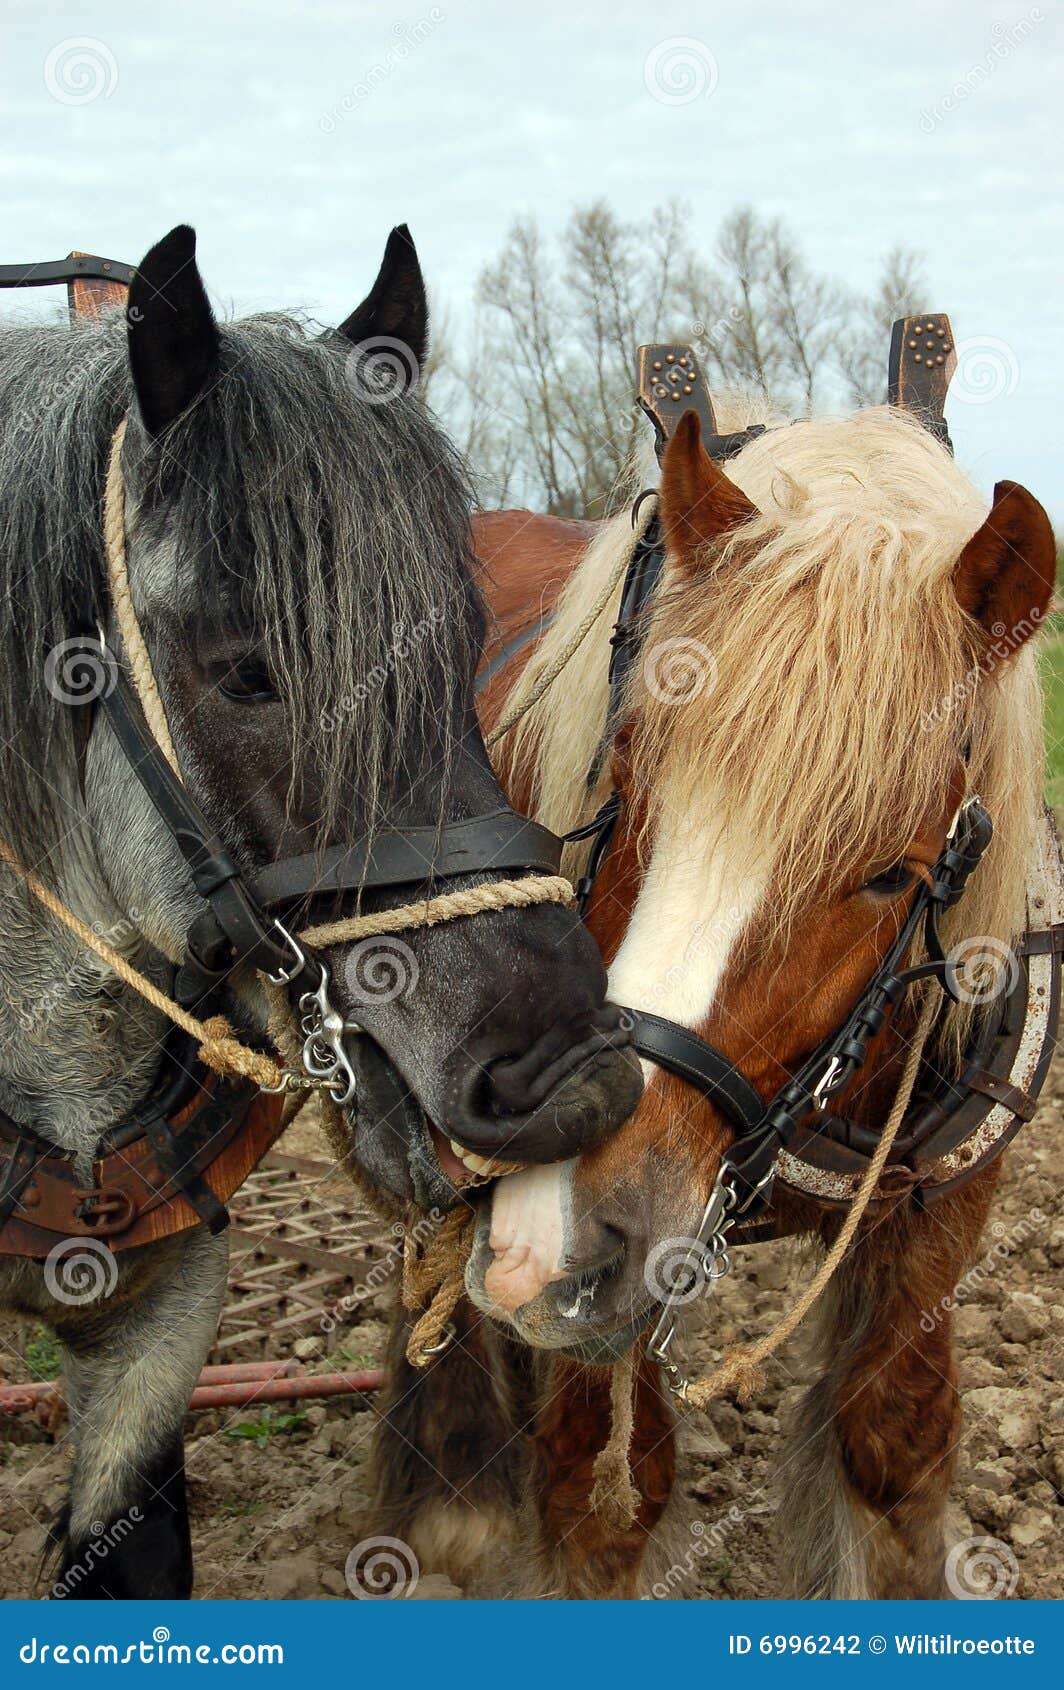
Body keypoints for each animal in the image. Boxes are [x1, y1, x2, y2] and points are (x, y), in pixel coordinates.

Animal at [370, 371, 1058, 1598]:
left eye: (894, 873)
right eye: (629, 769)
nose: (563, 1230)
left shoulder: (943, 1206)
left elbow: (892, 1446)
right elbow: (603, 1497)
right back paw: (446, 1479)